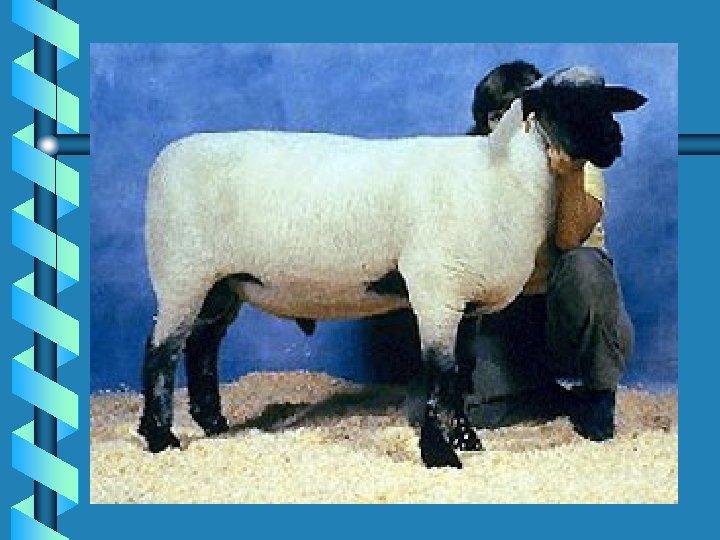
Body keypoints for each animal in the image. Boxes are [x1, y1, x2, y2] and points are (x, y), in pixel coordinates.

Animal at [138, 66, 646, 468]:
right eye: (563, 103)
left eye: (607, 101)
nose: (615, 142)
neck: (498, 176)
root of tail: (164, 159)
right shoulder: (436, 291)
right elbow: (440, 374)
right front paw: (439, 454)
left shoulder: (467, 302)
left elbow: (460, 374)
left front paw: (466, 440)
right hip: (182, 273)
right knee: (160, 352)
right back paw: (160, 437)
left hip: (222, 285)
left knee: (201, 348)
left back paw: (213, 424)